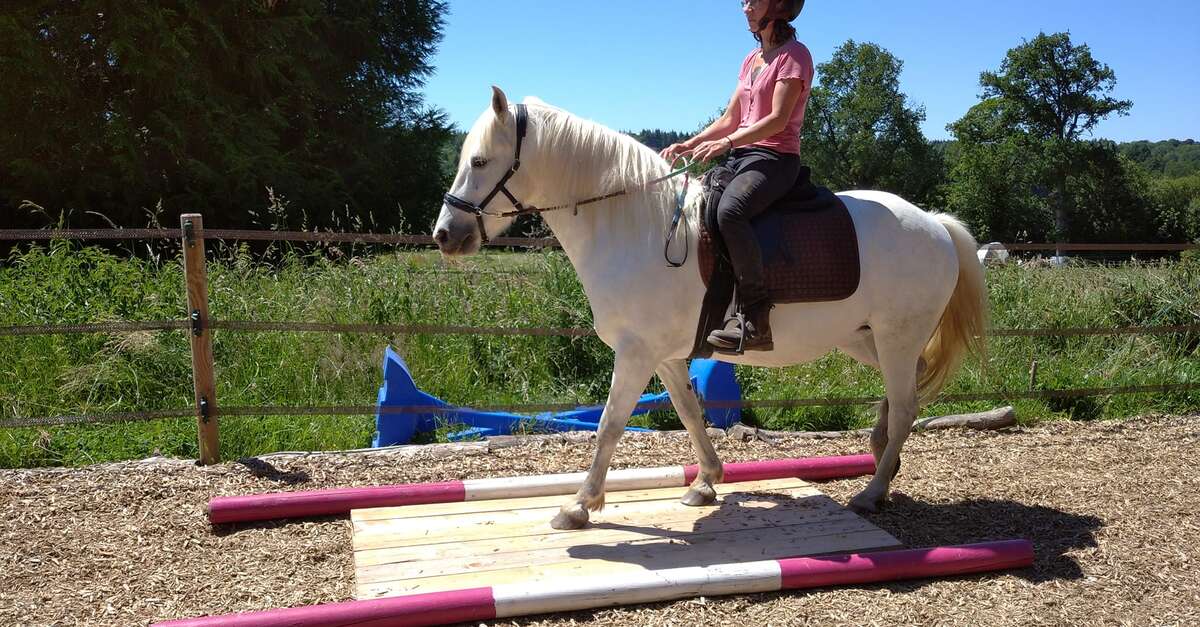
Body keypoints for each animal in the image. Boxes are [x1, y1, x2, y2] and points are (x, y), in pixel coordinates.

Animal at [433, 87, 987, 530]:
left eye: (479, 162)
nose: (444, 235)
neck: (635, 227)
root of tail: (935, 223)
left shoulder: (635, 353)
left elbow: (610, 425)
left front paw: (579, 505)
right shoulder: (663, 354)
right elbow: (688, 411)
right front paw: (706, 482)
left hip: (895, 337)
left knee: (908, 405)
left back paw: (872, 491)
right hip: (866, 338)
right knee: (905, 390)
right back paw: (881, 463)